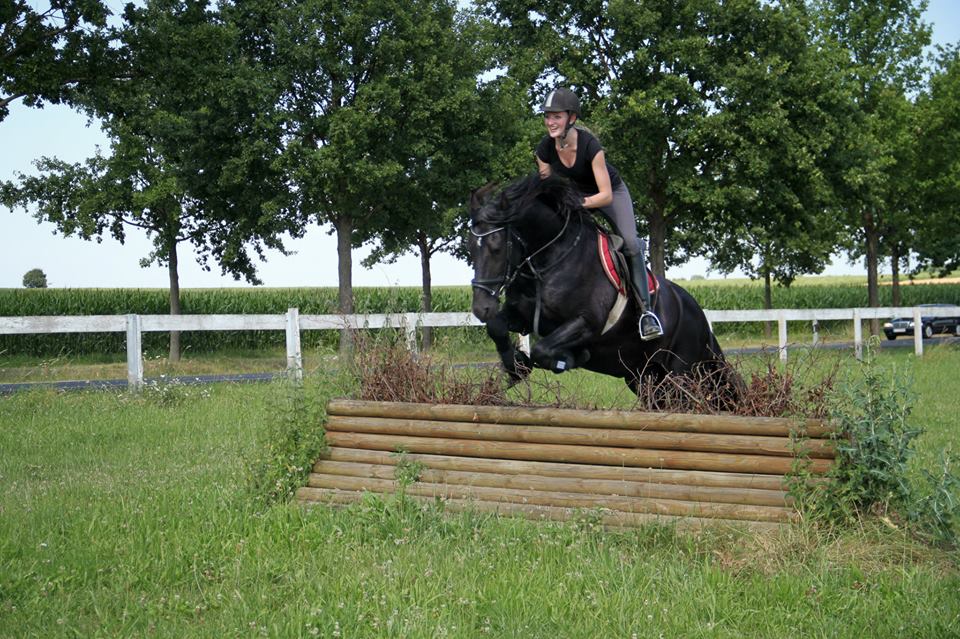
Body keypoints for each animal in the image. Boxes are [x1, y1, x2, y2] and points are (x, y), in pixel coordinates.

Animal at [468, 173, 737, 405]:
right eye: (471, 247)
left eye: (496, 247)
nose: (481, 308)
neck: (548, 259)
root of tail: (699, 316)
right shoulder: (522, 316)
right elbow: (496, 327)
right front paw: (517, 367)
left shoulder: (587, 322)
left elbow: (543, 350)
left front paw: (569, 359)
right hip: (644, 377)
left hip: (683, 373)